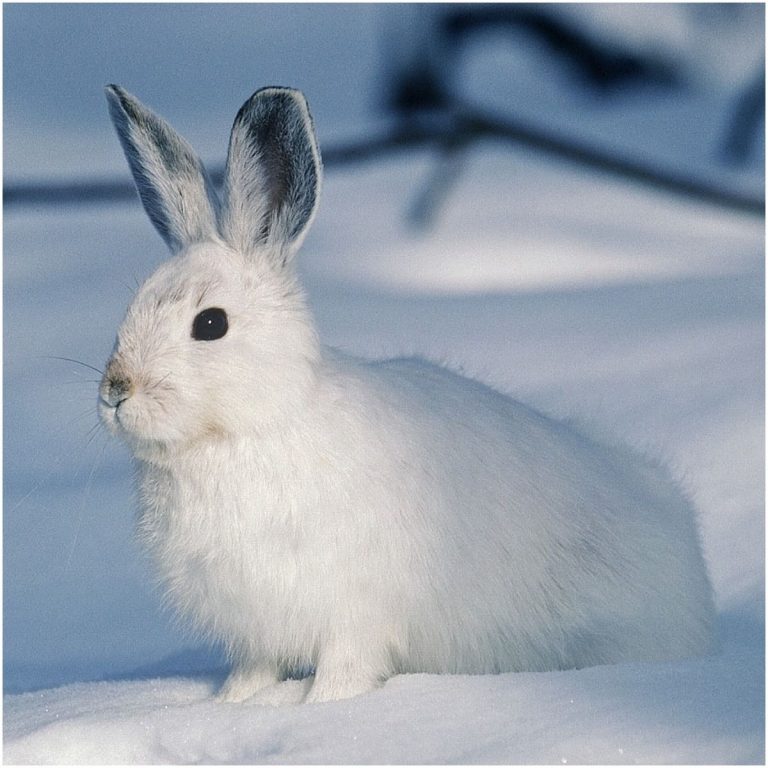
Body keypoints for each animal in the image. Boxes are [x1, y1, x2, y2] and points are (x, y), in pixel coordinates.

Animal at [99, 84, 716, 705]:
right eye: (128, 312)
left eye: (210, 324)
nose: (115, 391)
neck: (254, 425)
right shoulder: (257, 632)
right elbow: (254, 671)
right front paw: (231, 705)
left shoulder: (352, 615)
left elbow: (344, 671)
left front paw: (319, 709)